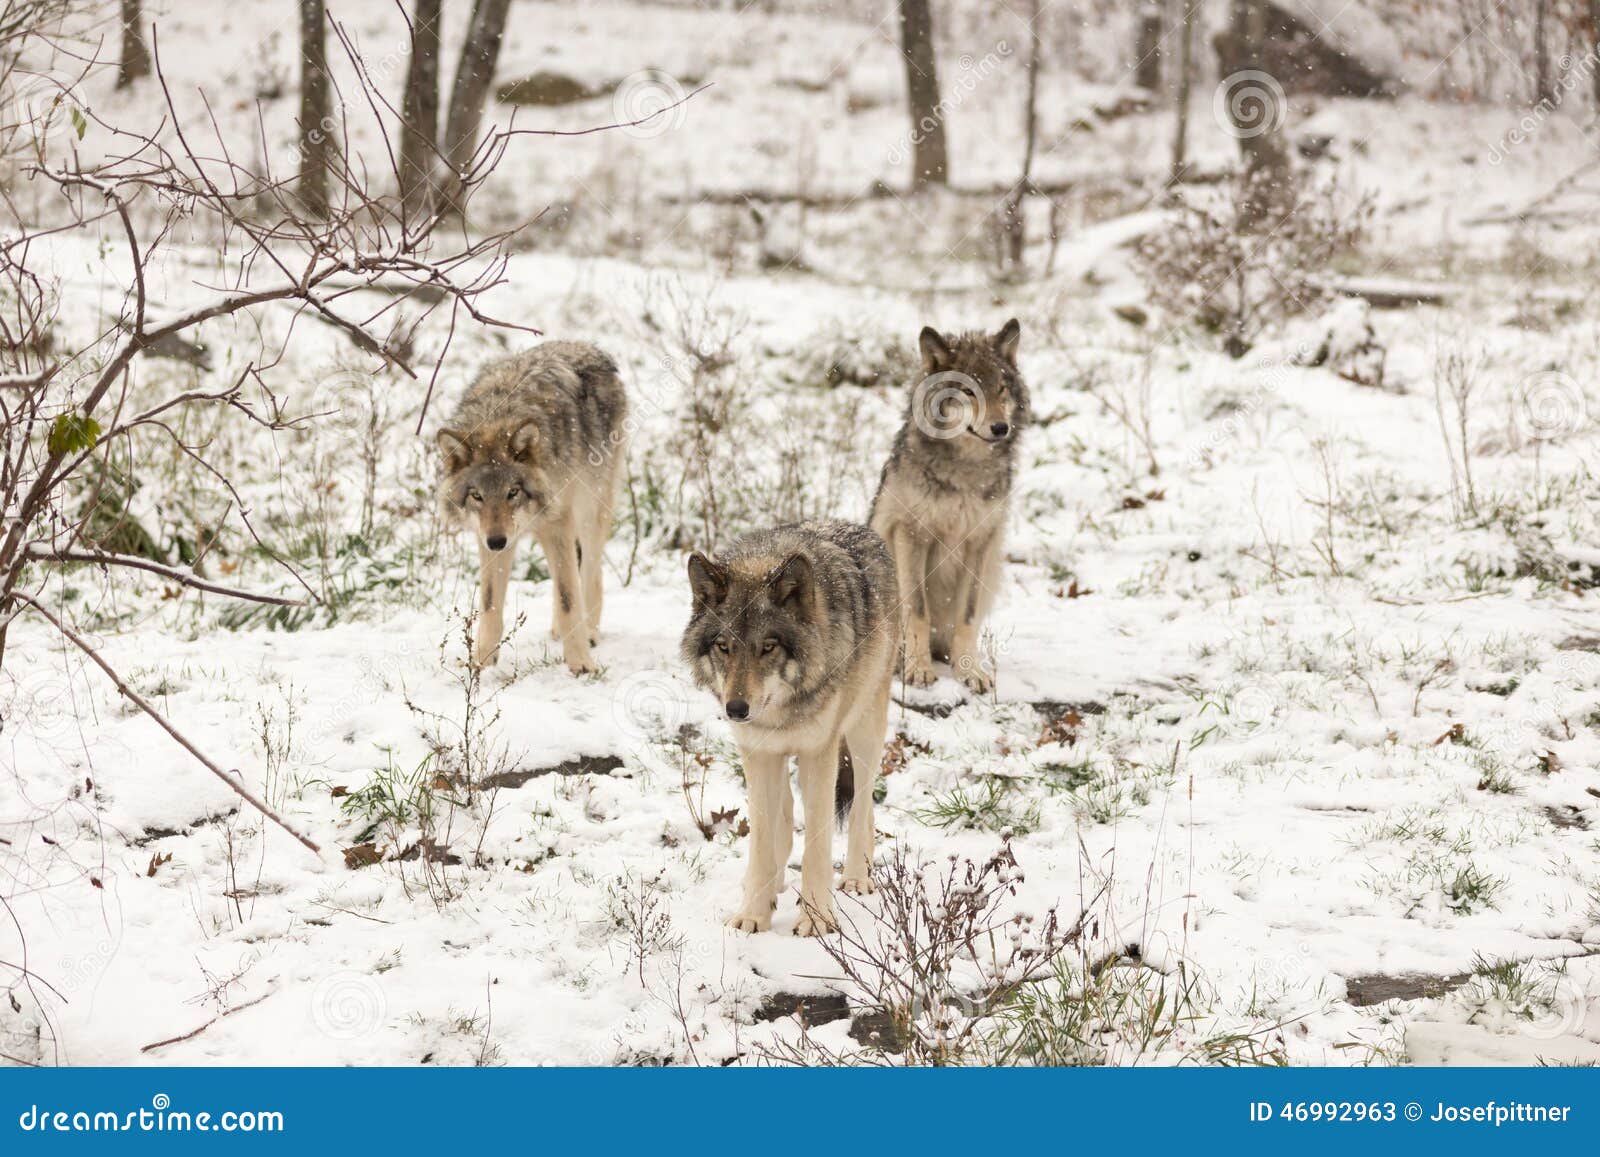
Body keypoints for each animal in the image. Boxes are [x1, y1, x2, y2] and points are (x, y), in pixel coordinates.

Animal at [437, 341, 627, 675]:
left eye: (512, 492)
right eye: (477, 495)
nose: (497, 541)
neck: (499, 417)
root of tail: (588, 346)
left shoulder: (556, 524)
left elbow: (568, 599)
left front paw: (580, 663)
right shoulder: (490, 538)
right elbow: (490, 603)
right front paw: (480, 662)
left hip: (588, 509)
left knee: (590, 572)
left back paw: (590, 631)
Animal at [682, 520, 900, 935]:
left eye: (768, 647)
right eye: (723, 646)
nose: (736, 709)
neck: (779, 713)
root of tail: (860, 527)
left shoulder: (819, 753)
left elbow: (817, 843)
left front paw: (816, 920)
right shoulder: (758, 752)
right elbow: (764, 840)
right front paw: (753, 914)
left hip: (863, 730)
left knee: (863, 806)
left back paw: (856, 876)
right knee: (784, 818)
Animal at [869, 318, 1028, 693]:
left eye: (1002, 388)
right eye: (969, 391)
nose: (1000, 427)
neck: (966, 471)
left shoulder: (981, 540)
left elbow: (966, 615)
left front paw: (969, 671)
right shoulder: (911, 534)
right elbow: (918, 610)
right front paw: (917, 669)